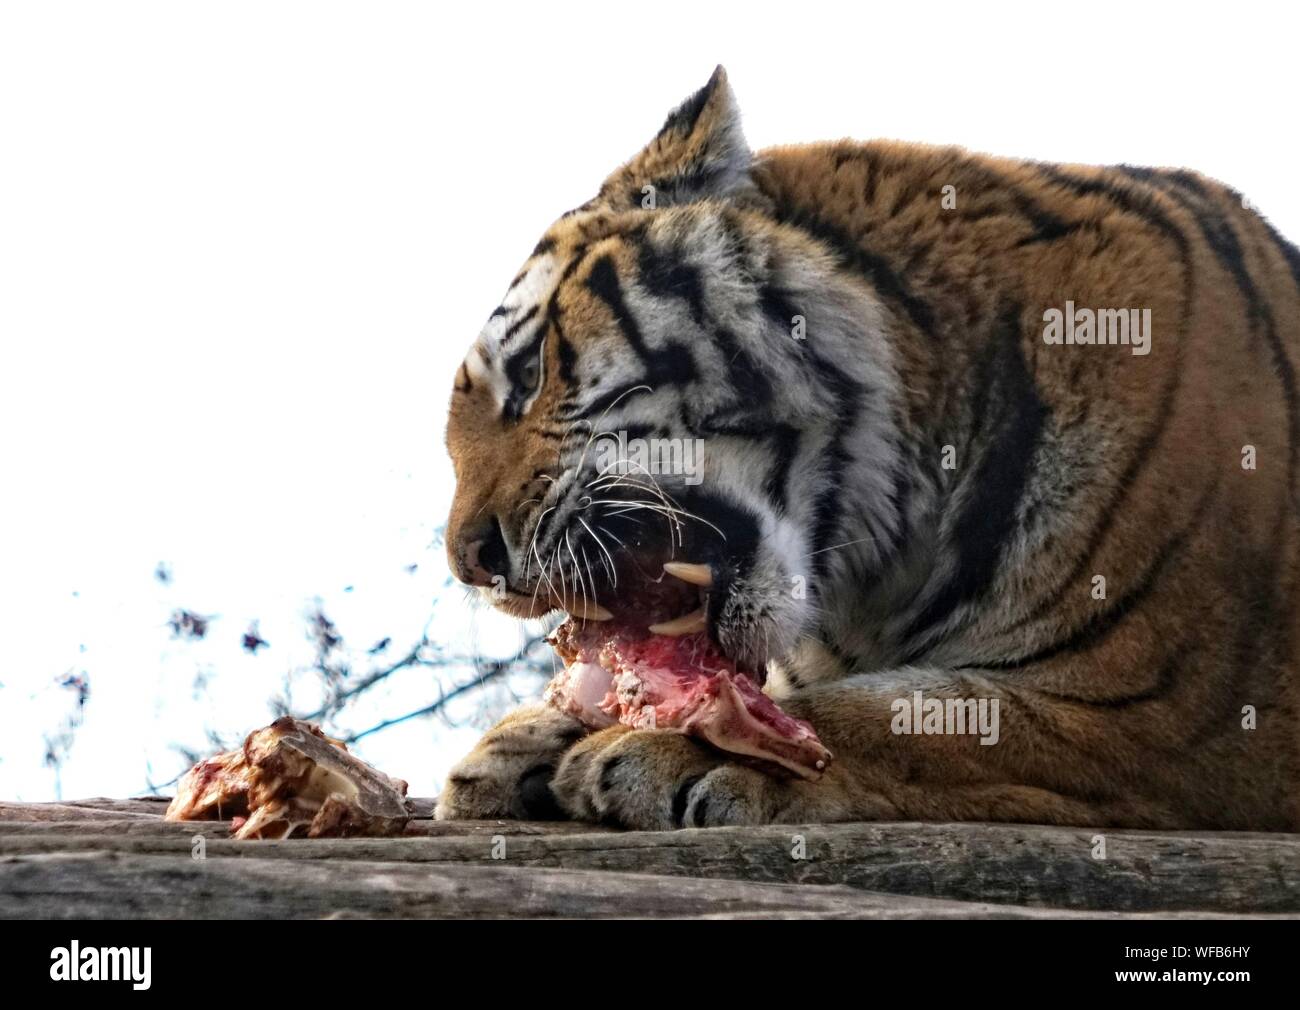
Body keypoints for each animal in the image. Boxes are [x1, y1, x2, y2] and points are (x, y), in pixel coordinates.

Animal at [433, 66, 1300, 831]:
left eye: (530, 372)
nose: (470, 561)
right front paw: (514, 748)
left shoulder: (1160, 712)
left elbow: (917, 716)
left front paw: (671, 750)